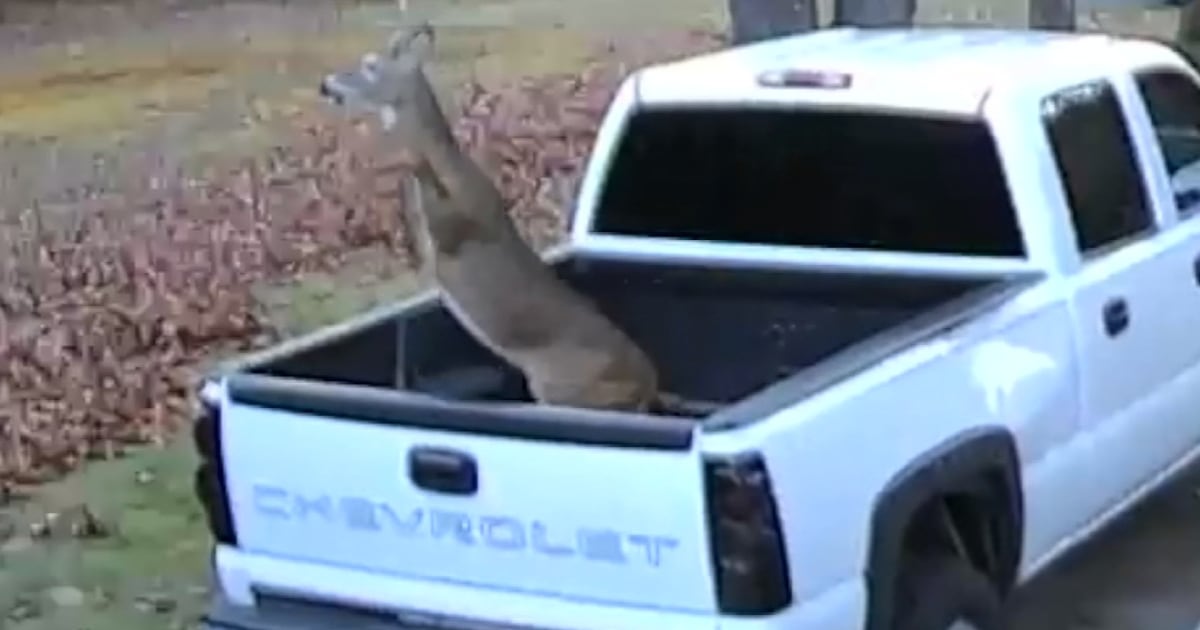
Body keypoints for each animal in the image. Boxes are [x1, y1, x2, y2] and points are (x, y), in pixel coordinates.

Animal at [317, 23, 679, 413]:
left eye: (370, 65)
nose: (326, 84)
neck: (452, 168)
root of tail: (650, 383)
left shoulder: (455, 231)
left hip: (560, 388)